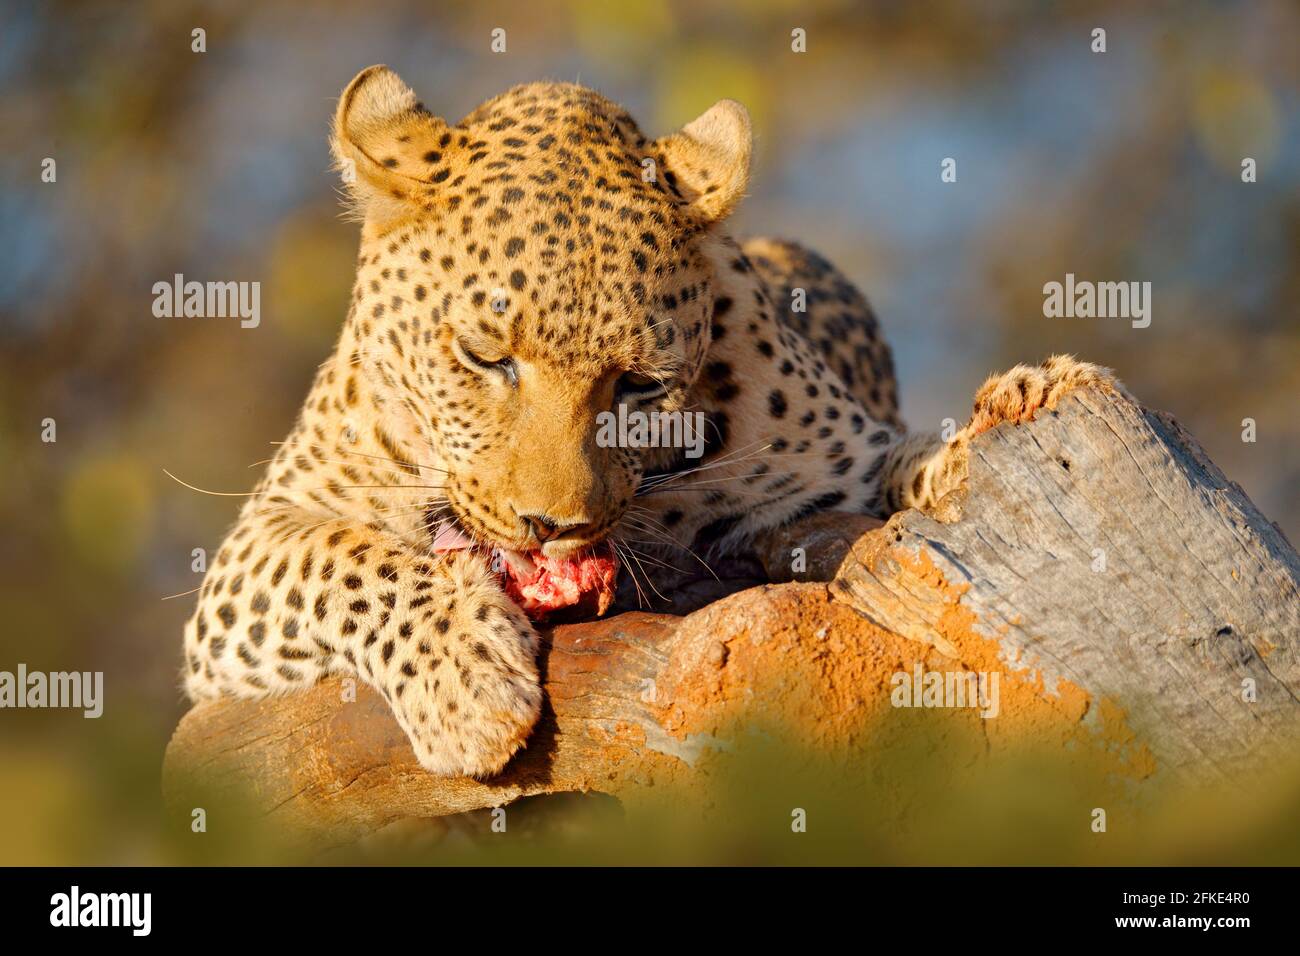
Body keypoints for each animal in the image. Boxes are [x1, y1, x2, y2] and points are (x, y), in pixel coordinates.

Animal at [182, 66, 1123, 777]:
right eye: (485, 358)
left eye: (636, 384)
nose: (553, 527)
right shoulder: (241, 566)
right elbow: (341, 563)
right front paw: (467, 687)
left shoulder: (835, 469)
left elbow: (900, 468)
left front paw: (1012, 413)